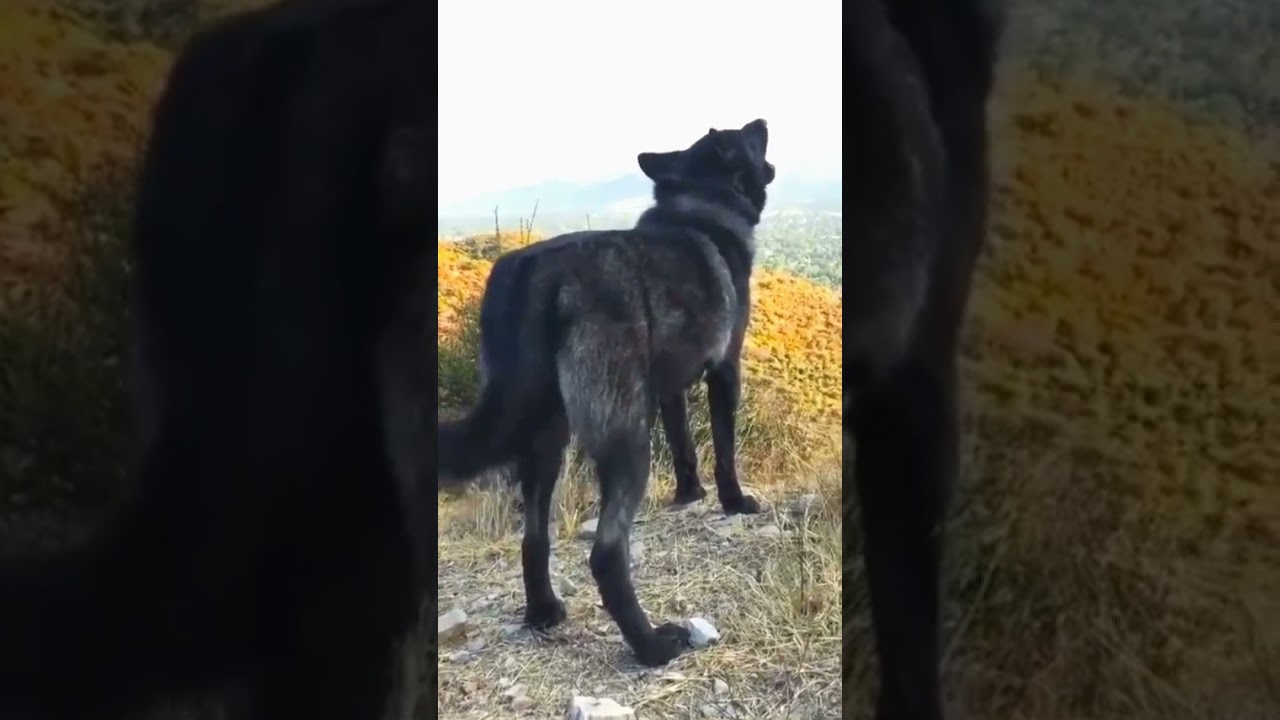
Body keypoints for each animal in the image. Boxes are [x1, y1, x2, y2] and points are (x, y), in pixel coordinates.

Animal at [439, 119, 775, 666]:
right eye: (740, 135)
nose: (762, 120)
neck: (700, 207)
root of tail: (539, 274)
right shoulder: (725, 370)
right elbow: (725, 451)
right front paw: (733, 501)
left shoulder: (669, 389)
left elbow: (684, 447)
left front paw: (688, 494)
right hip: (625, 441)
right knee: (606, 554)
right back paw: (652, 645)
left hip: (545, 442)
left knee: (534, 538)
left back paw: (543, 612)